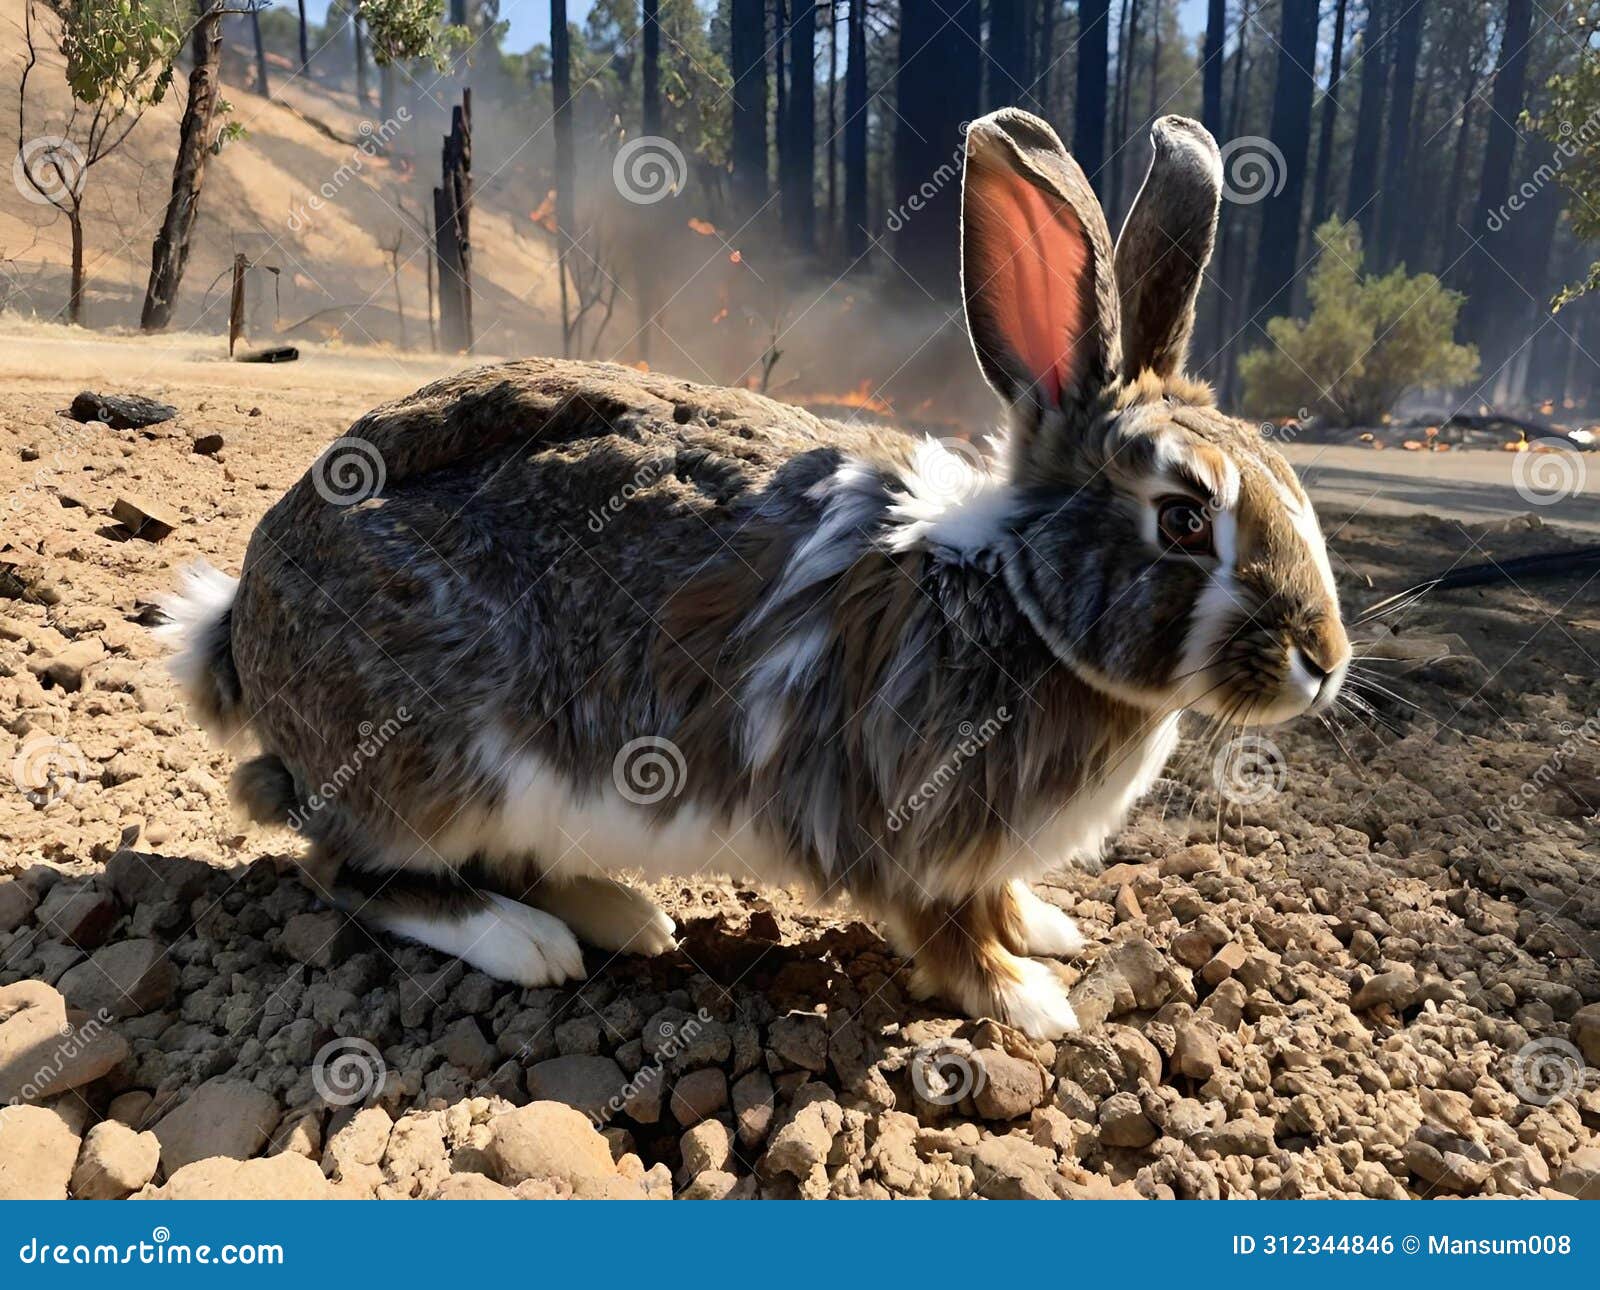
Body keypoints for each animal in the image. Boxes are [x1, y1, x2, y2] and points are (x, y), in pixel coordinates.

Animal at [156, 108, 1350, 1040]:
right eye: (1184, 518)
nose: (1324, 662)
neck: (1015, 592)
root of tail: (244, 623)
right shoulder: (915, 830)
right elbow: (950, 930)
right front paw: (1028, 999)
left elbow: (1001, 897)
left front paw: (1047, 931)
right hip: (435, 765)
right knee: (351, 873)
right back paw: (533, 942)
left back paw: (623, 915)